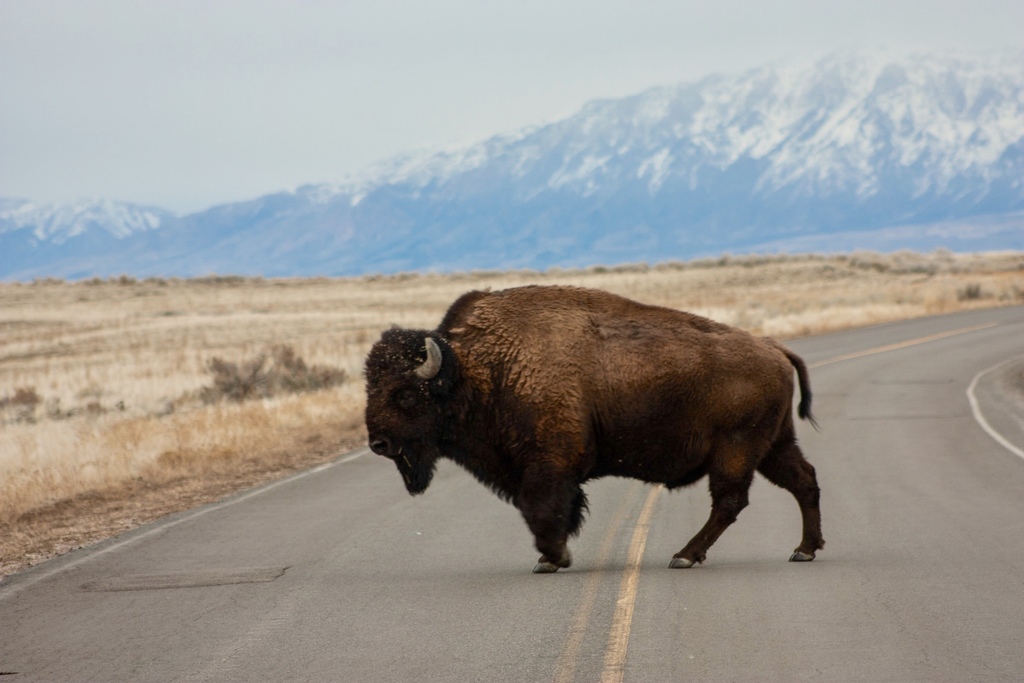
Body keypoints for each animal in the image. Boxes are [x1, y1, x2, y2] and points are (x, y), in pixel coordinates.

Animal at [365, 285, 823, 572]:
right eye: (371, 385)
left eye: (405, 394)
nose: (377, 442)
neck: (479, 370)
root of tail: (773, 348)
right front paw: (552, 556)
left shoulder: (548, 465)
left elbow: (541, 507)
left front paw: (552, 558)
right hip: (773, 445)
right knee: (803, 481)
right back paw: (804, 550)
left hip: (736, 450)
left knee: (730, 501)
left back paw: (685, 555)